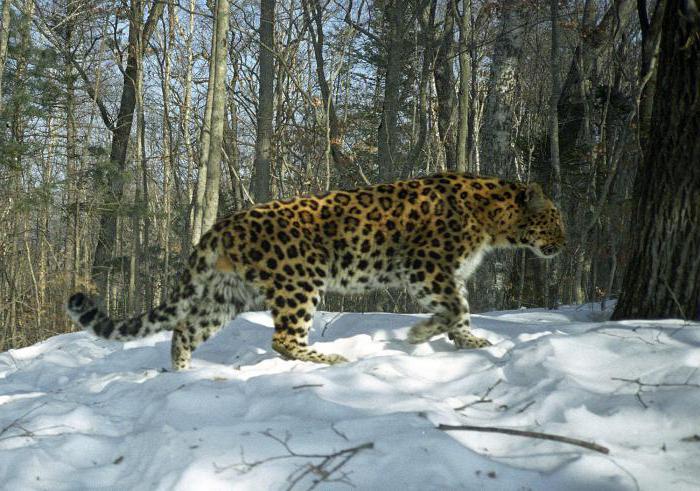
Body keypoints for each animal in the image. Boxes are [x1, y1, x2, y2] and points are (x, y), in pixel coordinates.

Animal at [65, 173, 568, 368]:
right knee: (283, 339)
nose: (564, 244)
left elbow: (461, 311)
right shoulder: (426, 267)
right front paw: (418, 335)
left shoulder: (445, 274)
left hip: (227, 294)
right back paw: (328, 359)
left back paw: (182, 375)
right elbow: (455, 308)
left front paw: (470, 342)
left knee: (184, 330)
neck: (495, 219)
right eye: (555, 219)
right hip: (300, 280)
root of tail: (222, 224)